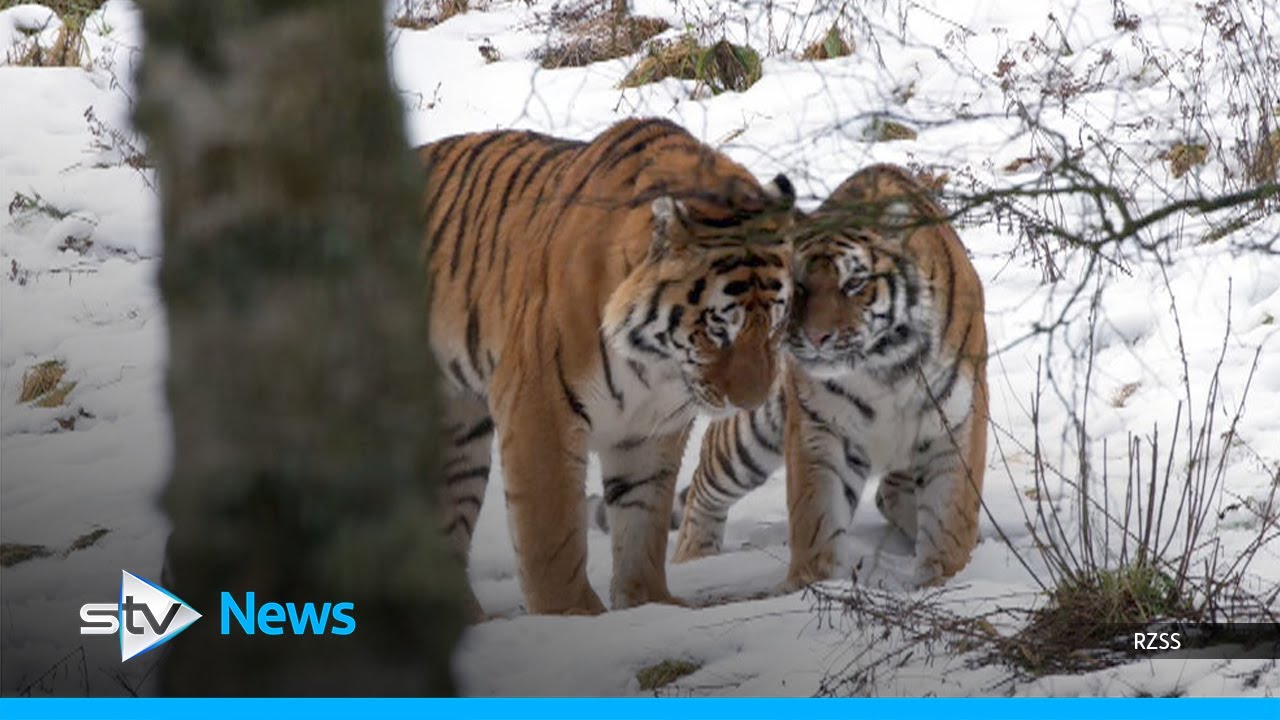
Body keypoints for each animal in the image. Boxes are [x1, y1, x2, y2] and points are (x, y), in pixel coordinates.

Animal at [420, 117, 796, 619]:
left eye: (774, 324)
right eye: (718, 329)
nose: (751, 401)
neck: (655, 367)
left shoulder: (652, 429)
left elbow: (642, 521)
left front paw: (647, 605)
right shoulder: (539, 409)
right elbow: (551, 530)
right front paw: (570, 616)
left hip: (458, 430)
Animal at [669, 163, 988, 590]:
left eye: (854, 284)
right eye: (800, 286)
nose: (816, 337)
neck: (886, 364)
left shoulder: (956, 423)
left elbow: (950, 519)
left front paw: (946, 582)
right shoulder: (820, 428)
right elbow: (818, 517)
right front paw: (815, 584)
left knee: (891, 492)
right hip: (756, 426)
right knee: (707, 470)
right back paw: (693, 560)